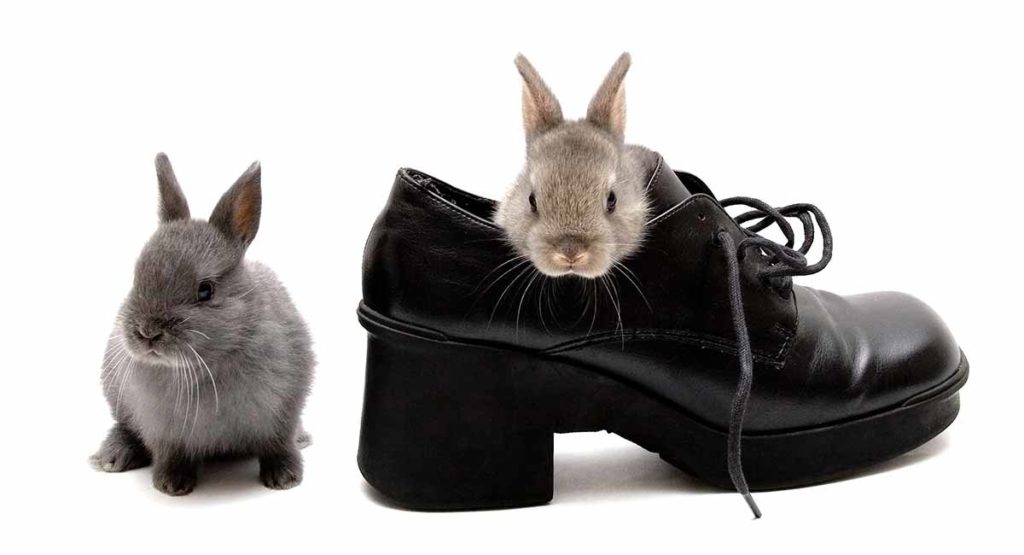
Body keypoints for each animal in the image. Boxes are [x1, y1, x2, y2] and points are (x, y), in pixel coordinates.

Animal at [90, 153, 314, 496]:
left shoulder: (284, 410)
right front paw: (171, 484)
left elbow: (278, 444)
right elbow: (170, 453)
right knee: (125, 427)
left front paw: (285, 478)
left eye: (205, 290)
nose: (147, 333)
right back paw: (112, 457)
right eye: (137, 276)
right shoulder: (161, 427)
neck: (205, 364)